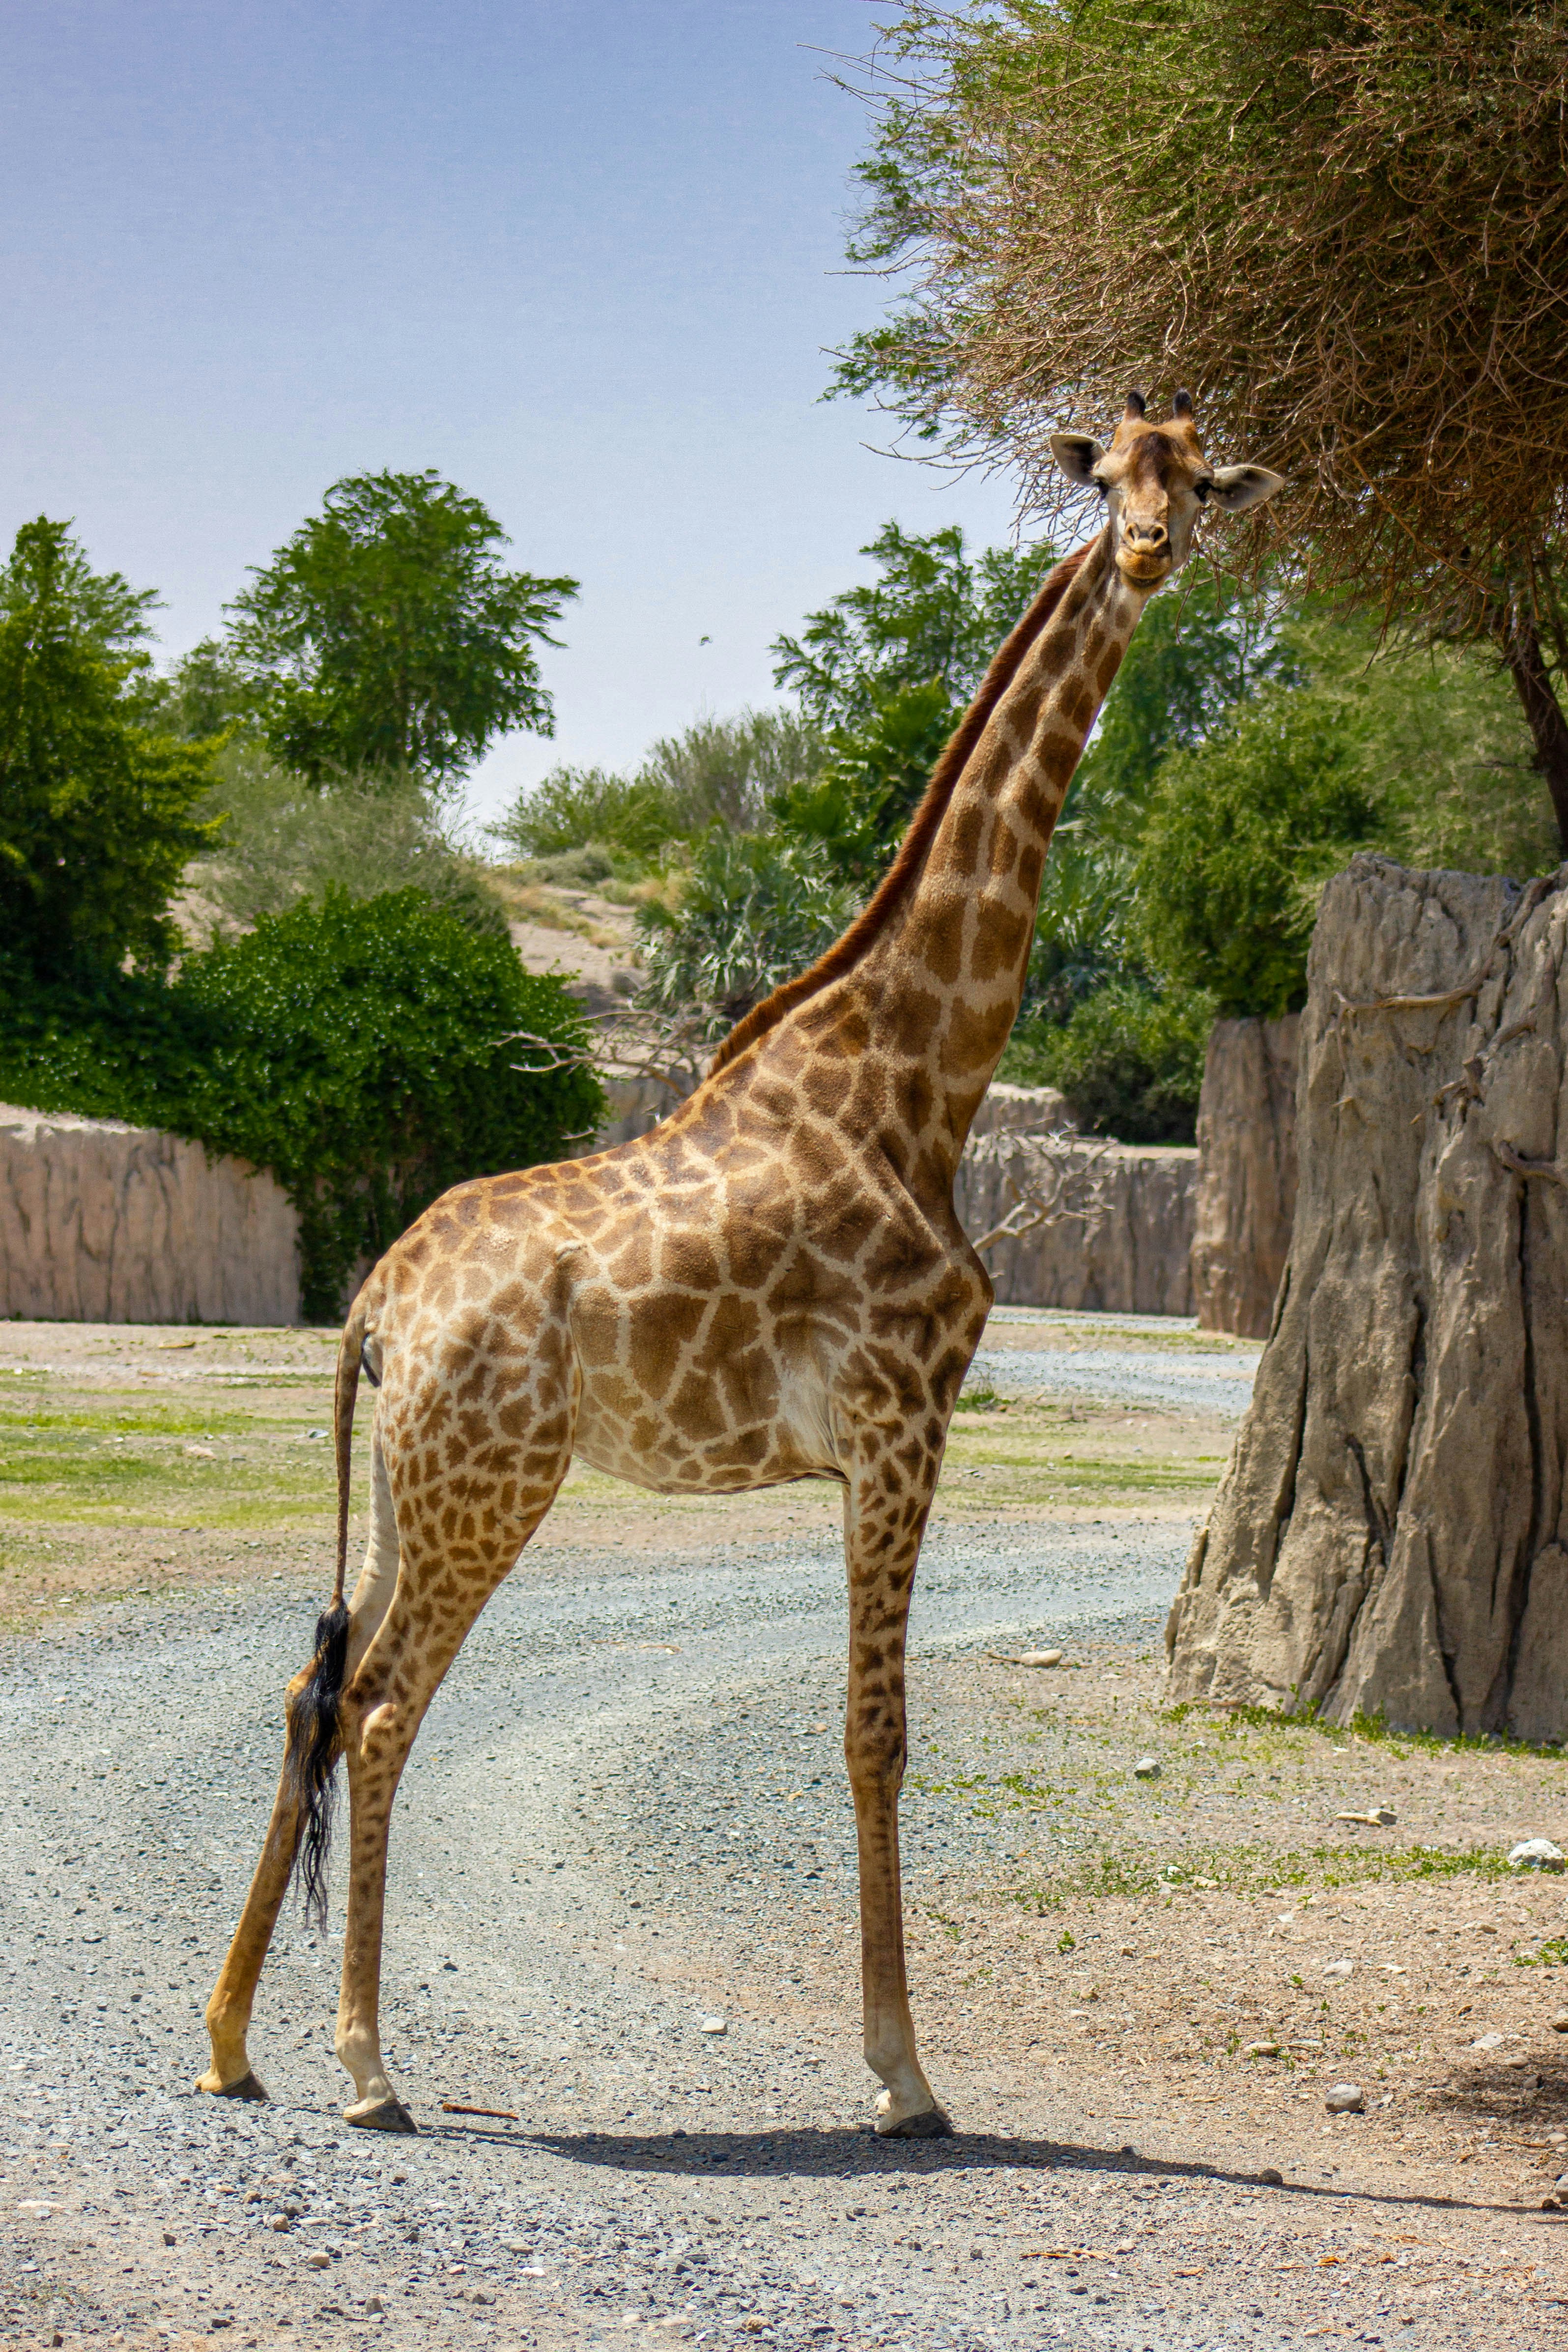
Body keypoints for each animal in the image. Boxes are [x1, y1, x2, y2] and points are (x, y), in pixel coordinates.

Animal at [199, 394, 1282, 2138]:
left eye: (1196, 478)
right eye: (1113, 471)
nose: (1143, 551)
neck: (922, 1075)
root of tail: (373, 1304)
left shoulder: (869, 1441)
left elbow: (864, 1724)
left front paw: (898, 2059)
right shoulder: (904, 1414)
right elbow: (873, 1731)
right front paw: (906, 2075)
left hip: (409, 1486)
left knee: (313, 1685)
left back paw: (234, 2041)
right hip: (489, 1483)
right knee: (380, 1702)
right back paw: (365, 2064)